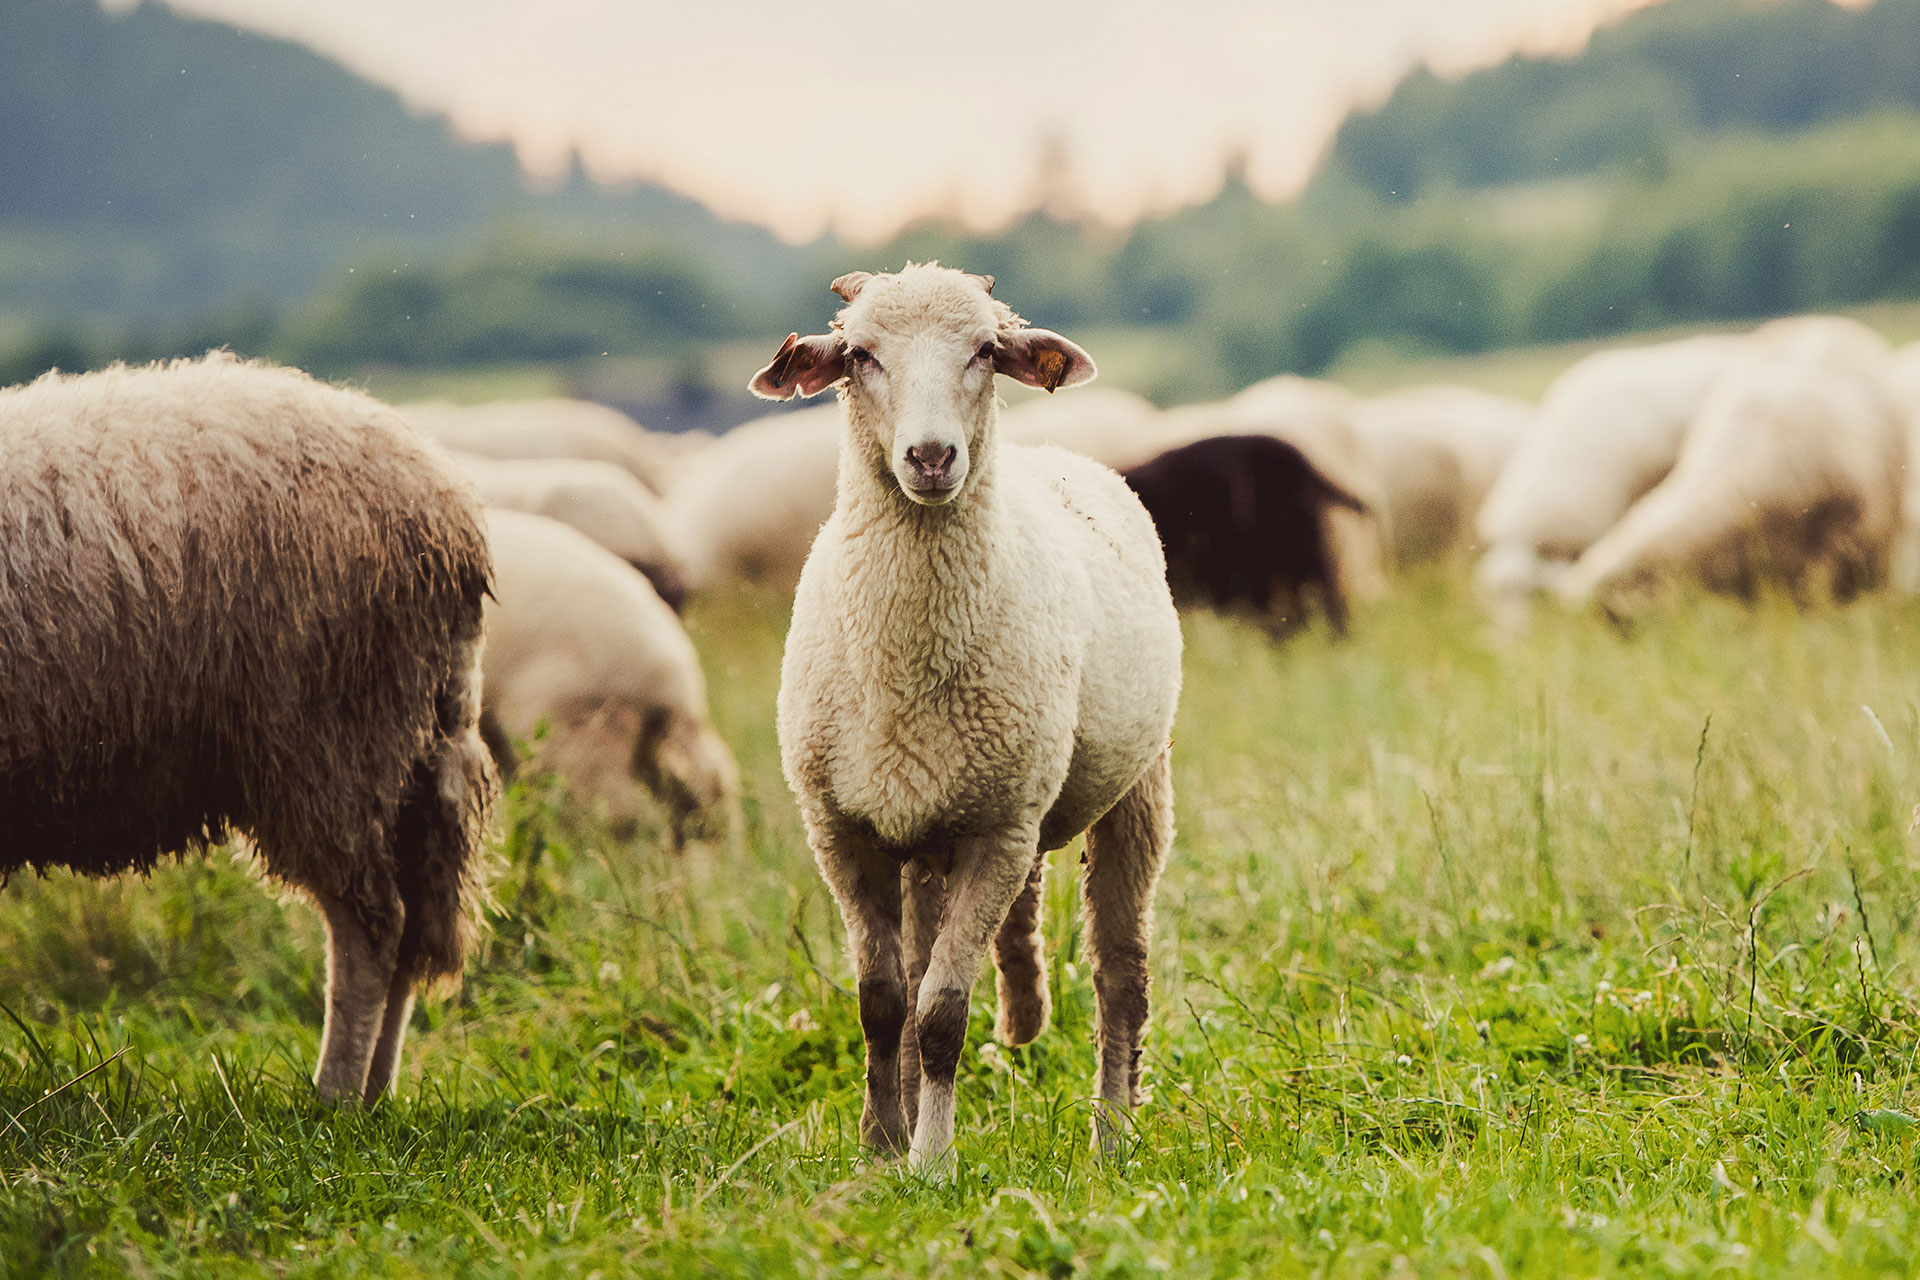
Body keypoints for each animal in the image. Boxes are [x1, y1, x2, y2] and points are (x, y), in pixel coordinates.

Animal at [0, 352, 497, 1104]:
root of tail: (450, 510)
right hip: (412, 742)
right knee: (413, 925)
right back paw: (377, 1092)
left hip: (330, 738)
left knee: (373, 925)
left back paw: (334, 1096)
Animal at [752, 265, 1183, 1171]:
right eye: (859, 355)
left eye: (985, 349)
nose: (930, 456)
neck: (905, 668)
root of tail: (1056, 455)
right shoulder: (840, 829)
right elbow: (884, 1000)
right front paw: (880, 1148)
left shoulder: (1001, 834)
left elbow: (943, 1012)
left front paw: (932, 1162)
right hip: (924, 828)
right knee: (915, 971)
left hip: (1134, 786)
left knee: (1120, 975)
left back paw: (1112, 1134)